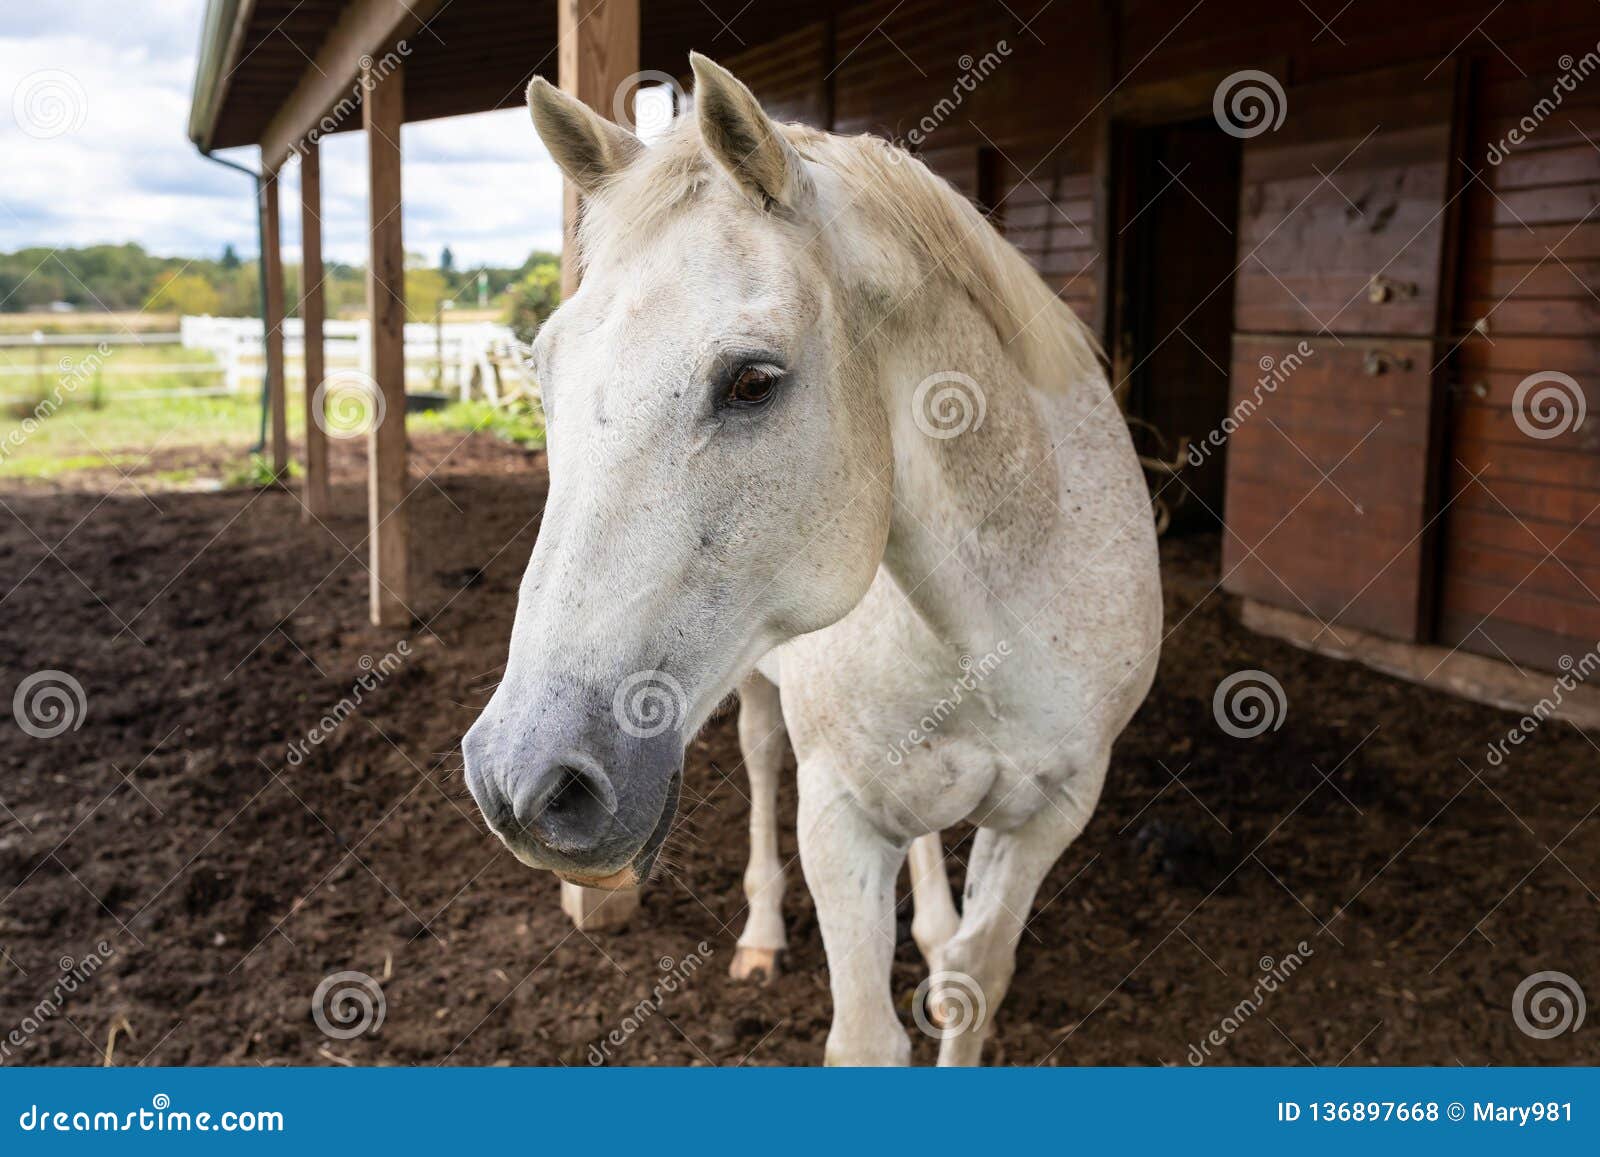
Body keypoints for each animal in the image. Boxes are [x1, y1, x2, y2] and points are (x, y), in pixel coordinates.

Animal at [461, 53, 1162, 1066]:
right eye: (545, 372)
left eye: (753, 381)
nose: (523, 782)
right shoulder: (839, 819)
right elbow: (866, 1036)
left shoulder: (1052, 812)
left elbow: (973, 983)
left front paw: (946, 955)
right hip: (758, 691)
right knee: (760, 761)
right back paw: (760, 936)